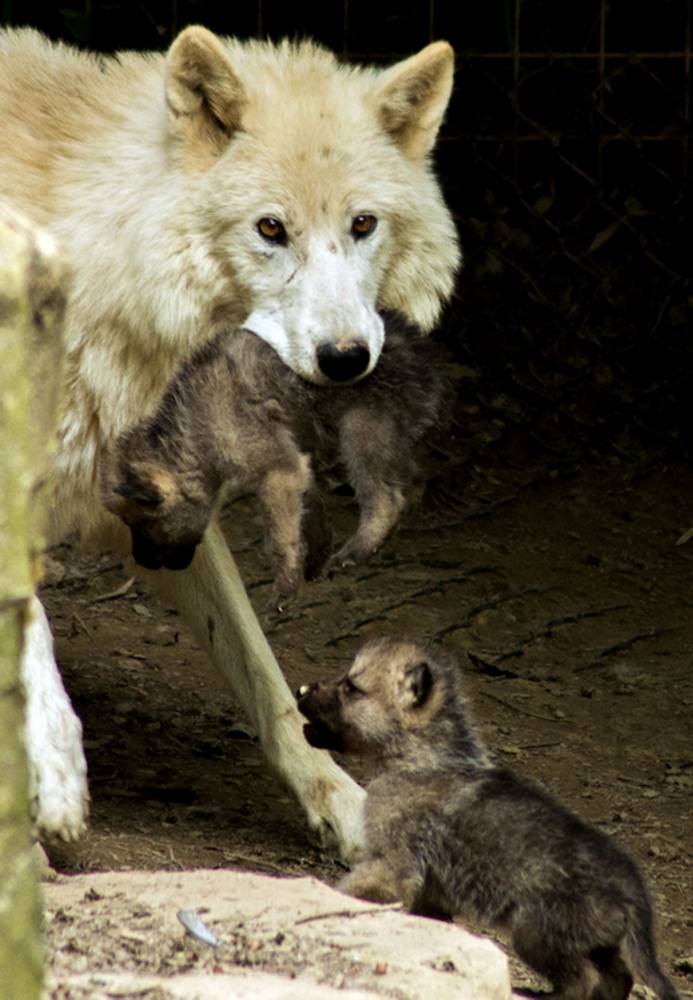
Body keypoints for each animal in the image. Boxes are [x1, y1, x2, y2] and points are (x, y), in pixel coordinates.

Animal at [101, 322, 448, 614]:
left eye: (140, 521)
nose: (140, 561)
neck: (192, 431)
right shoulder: (296, 465)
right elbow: (312, 514)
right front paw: (313, 562)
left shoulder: (280, 470)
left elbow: (280, 539)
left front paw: (285, 588)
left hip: (362, 428)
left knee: (385, 498)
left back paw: (356, 551)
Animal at [297, 639, 679, 1000]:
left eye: (351, 687)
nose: (301, 691)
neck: (421, 761)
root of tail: (632, 886)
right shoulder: (432, 889)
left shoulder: (391, 865)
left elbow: (347, 889)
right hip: (595, 942)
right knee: (618, 978)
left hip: (534, 933)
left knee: (584, 980)